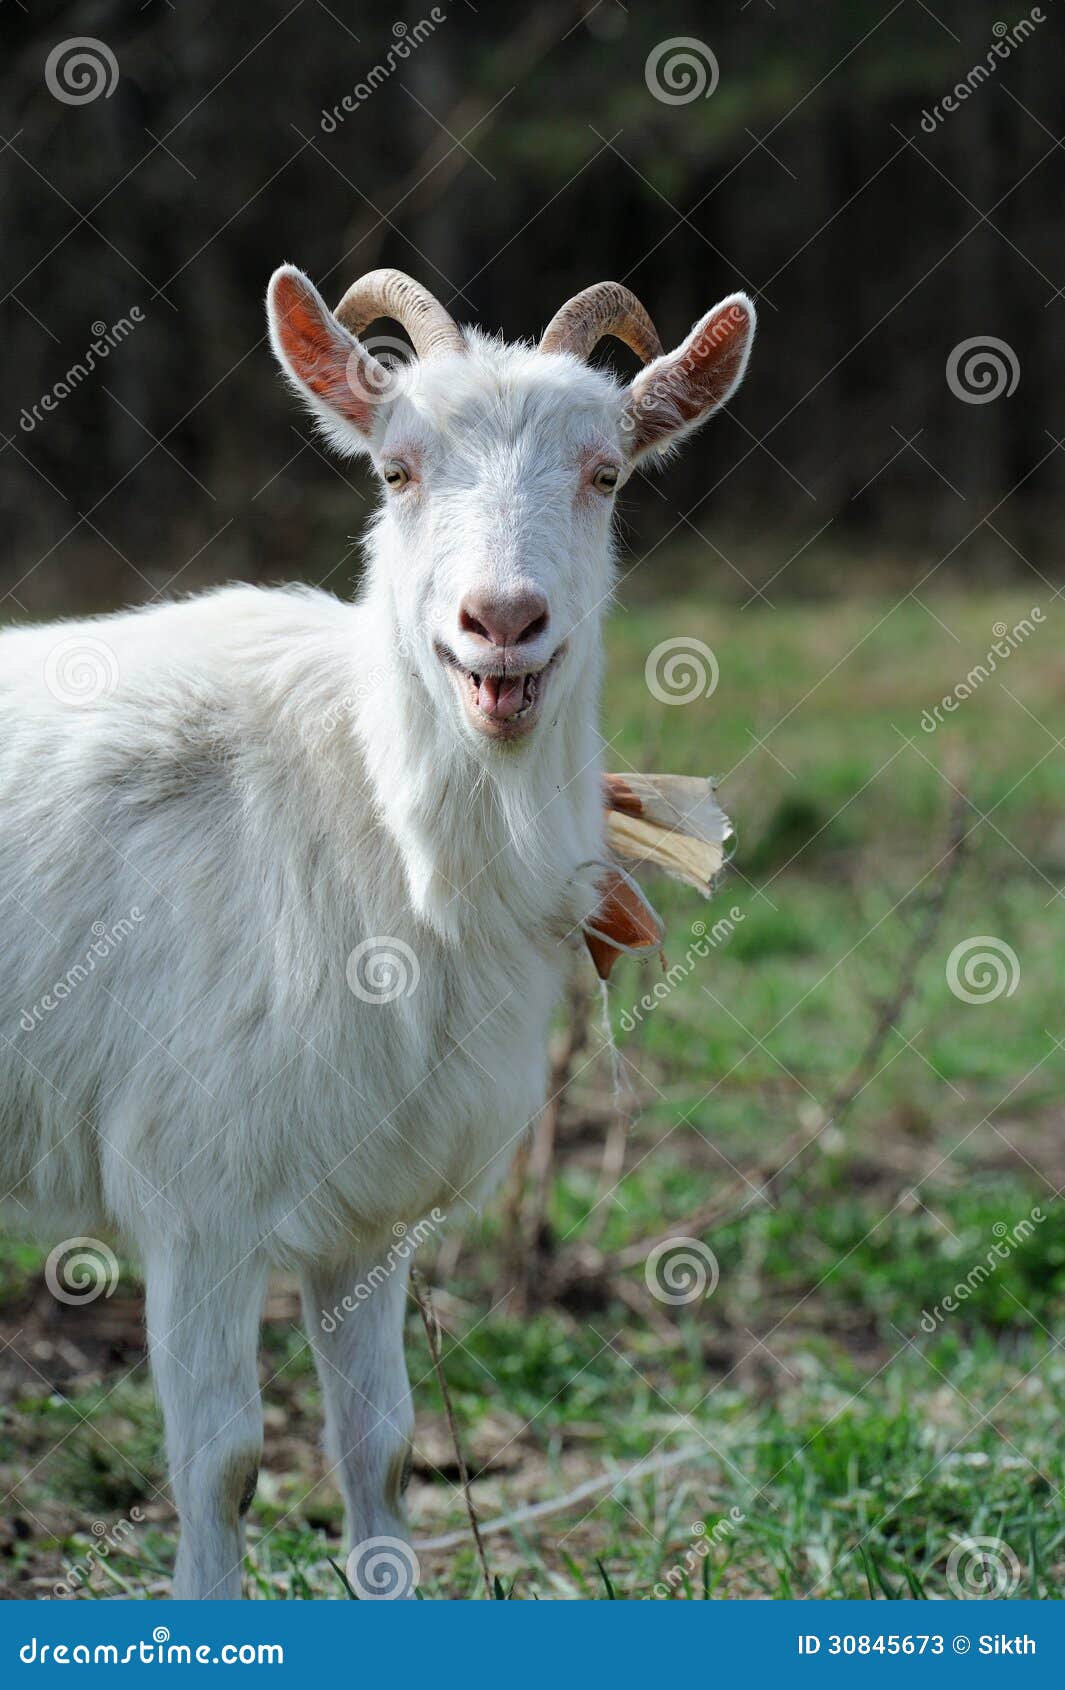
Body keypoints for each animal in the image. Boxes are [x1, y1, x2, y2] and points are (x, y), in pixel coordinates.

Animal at [0, 267, 756, 1598]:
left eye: (606, 472)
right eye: (397, 469)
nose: (501, 620)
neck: (369, 808)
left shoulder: (366, 1210)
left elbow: (383, 1450)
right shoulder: (195, 1192)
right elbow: (223, 1465)